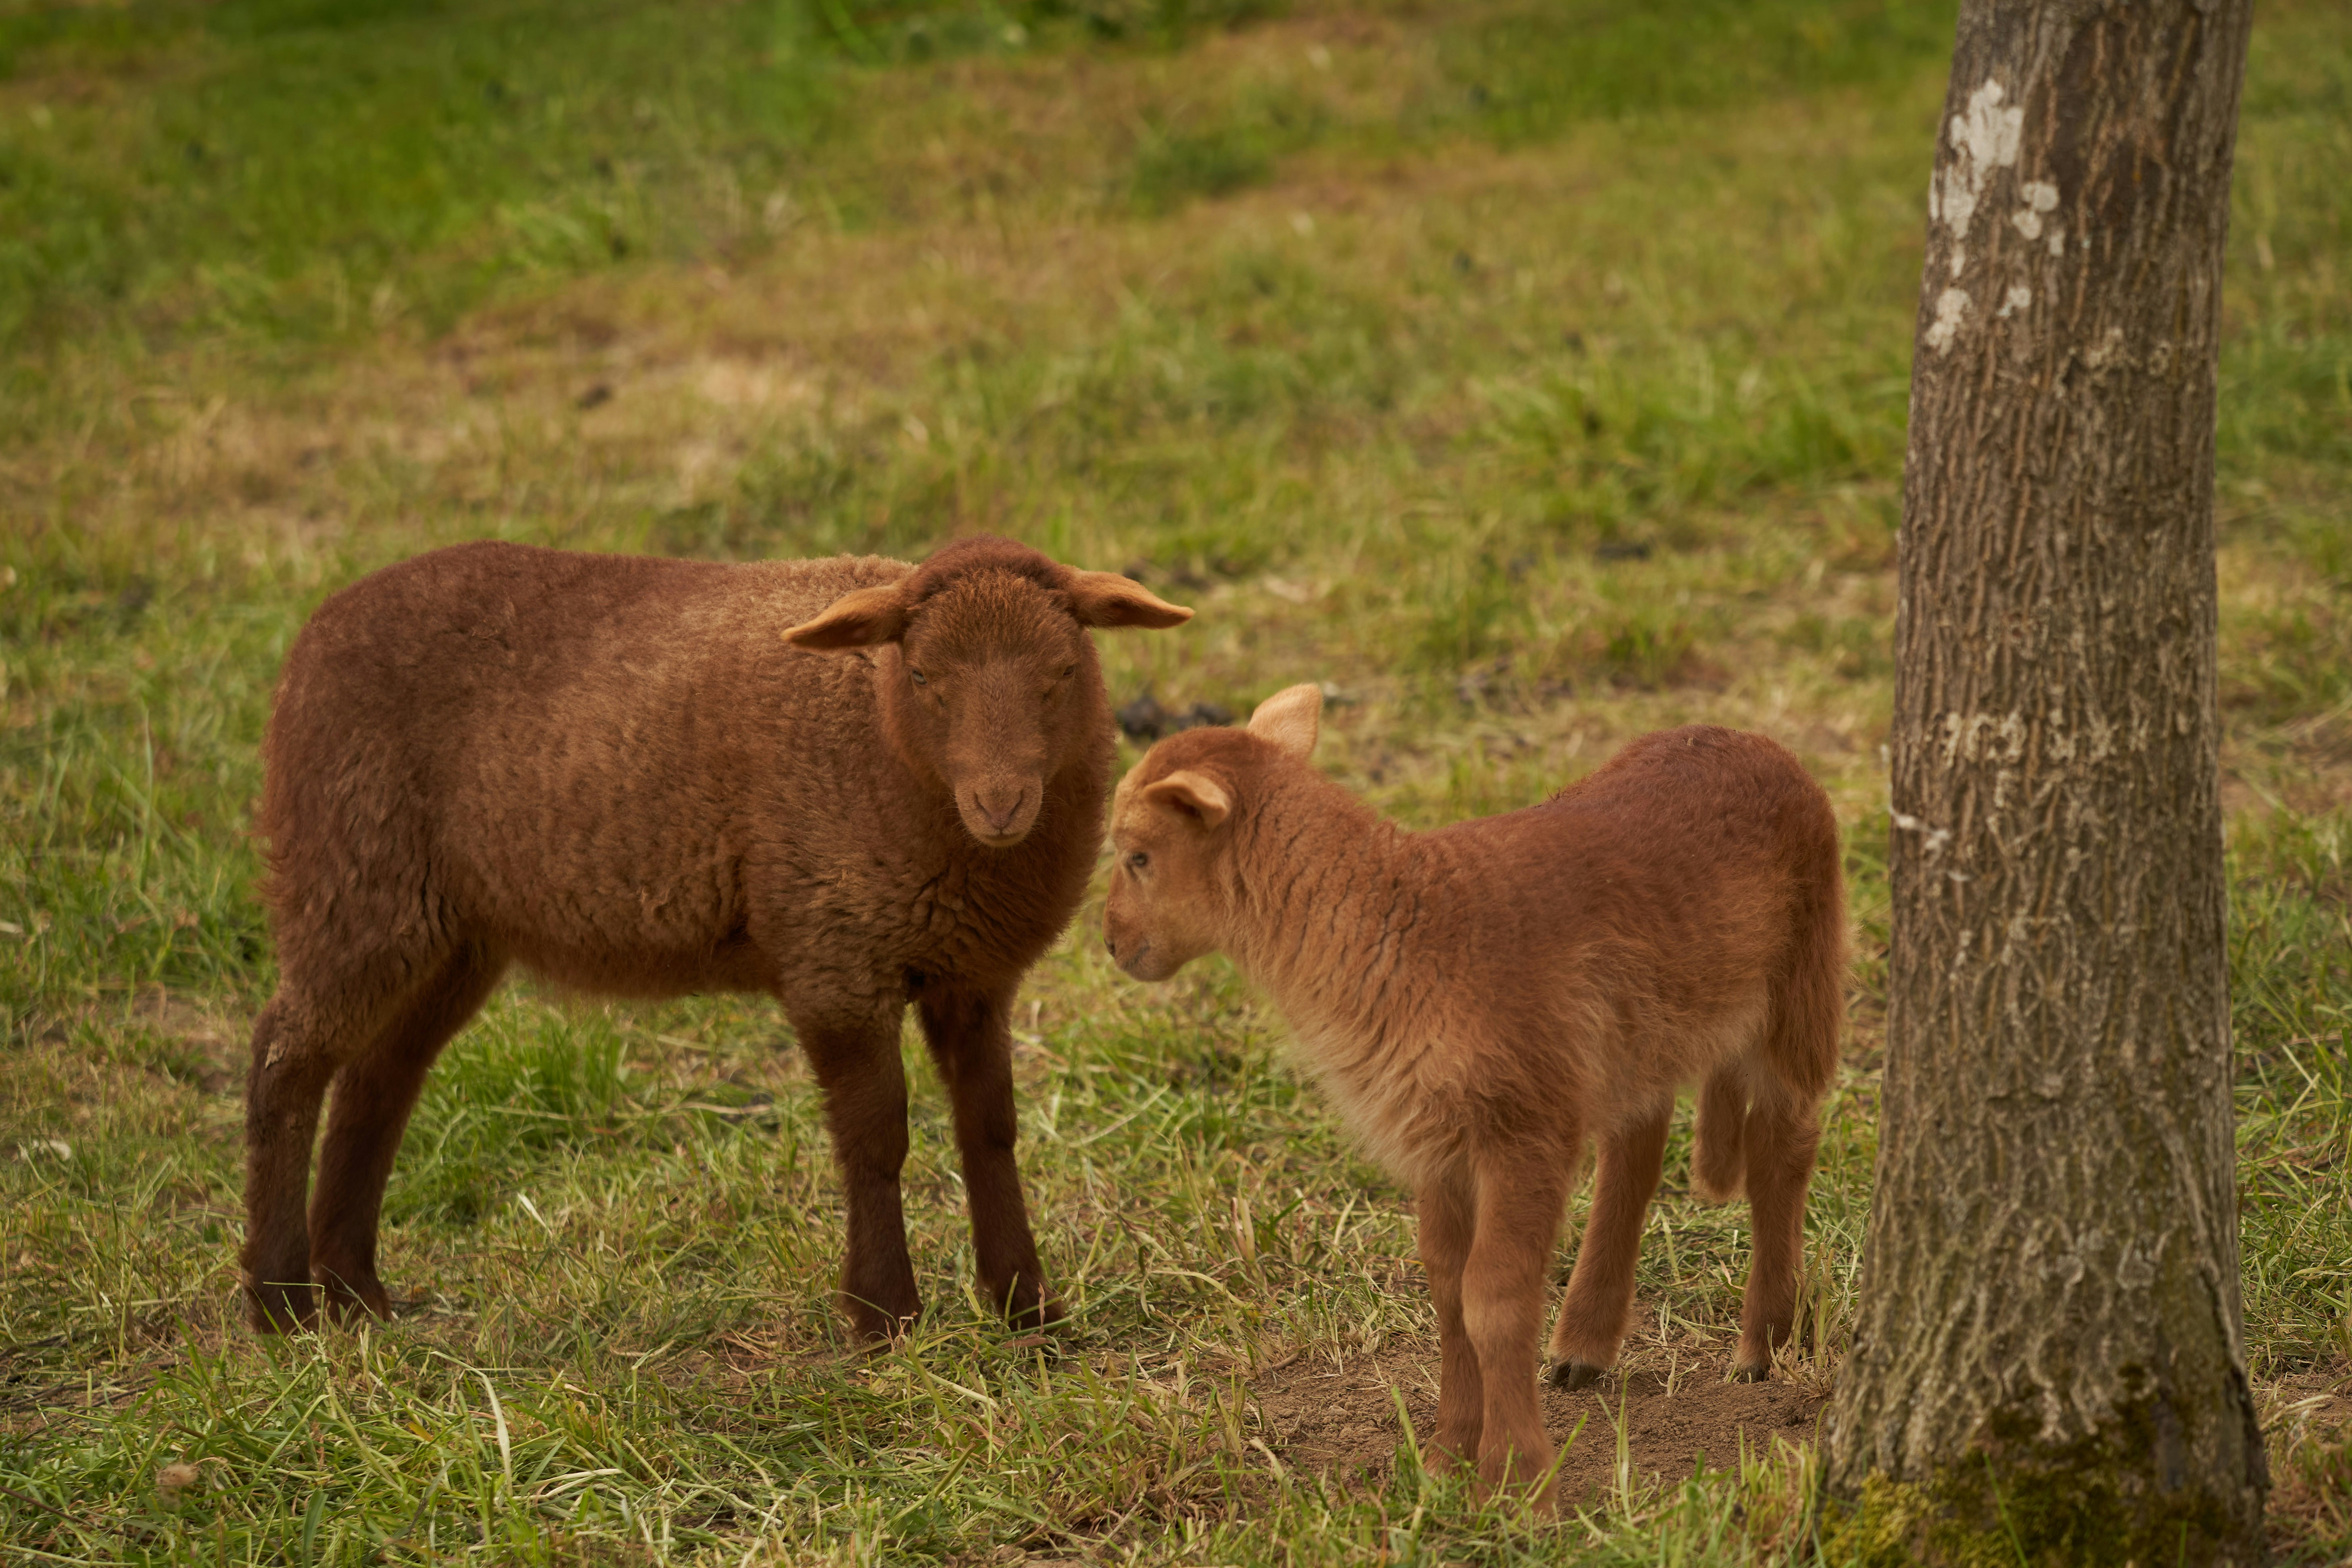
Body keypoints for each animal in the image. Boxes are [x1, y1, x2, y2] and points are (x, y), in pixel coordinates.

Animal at [243, 534, 1191, 1343]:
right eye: (922, 672)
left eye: (1062, 671)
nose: (1001, 804)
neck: (882, 741)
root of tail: (314, 632)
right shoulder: (833, 953)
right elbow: (877, 1138)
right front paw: (884, 1316)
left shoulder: (974, 973)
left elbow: (990, 1127)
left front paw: (1026, 1308)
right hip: (352, 878)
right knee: (285, 1061)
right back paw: (279, 1302)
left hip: (450, 932)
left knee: (376, 1082)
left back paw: (355, 1293)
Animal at [1101, 684, 1845, 1501]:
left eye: (1139, 856)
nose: (1110, 943)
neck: (1408, 925)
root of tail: (1746, 739)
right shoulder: (1440, 1139)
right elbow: (1448, 1293)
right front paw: (1445, 1460)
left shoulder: (1524, 1131)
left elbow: (1493, 1301)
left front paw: (1518, 1479)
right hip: (1636, 1032)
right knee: (1635, 1153)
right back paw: (1583, 1346)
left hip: (1800, 981)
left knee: (1785, 1146)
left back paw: (1763, 1346)